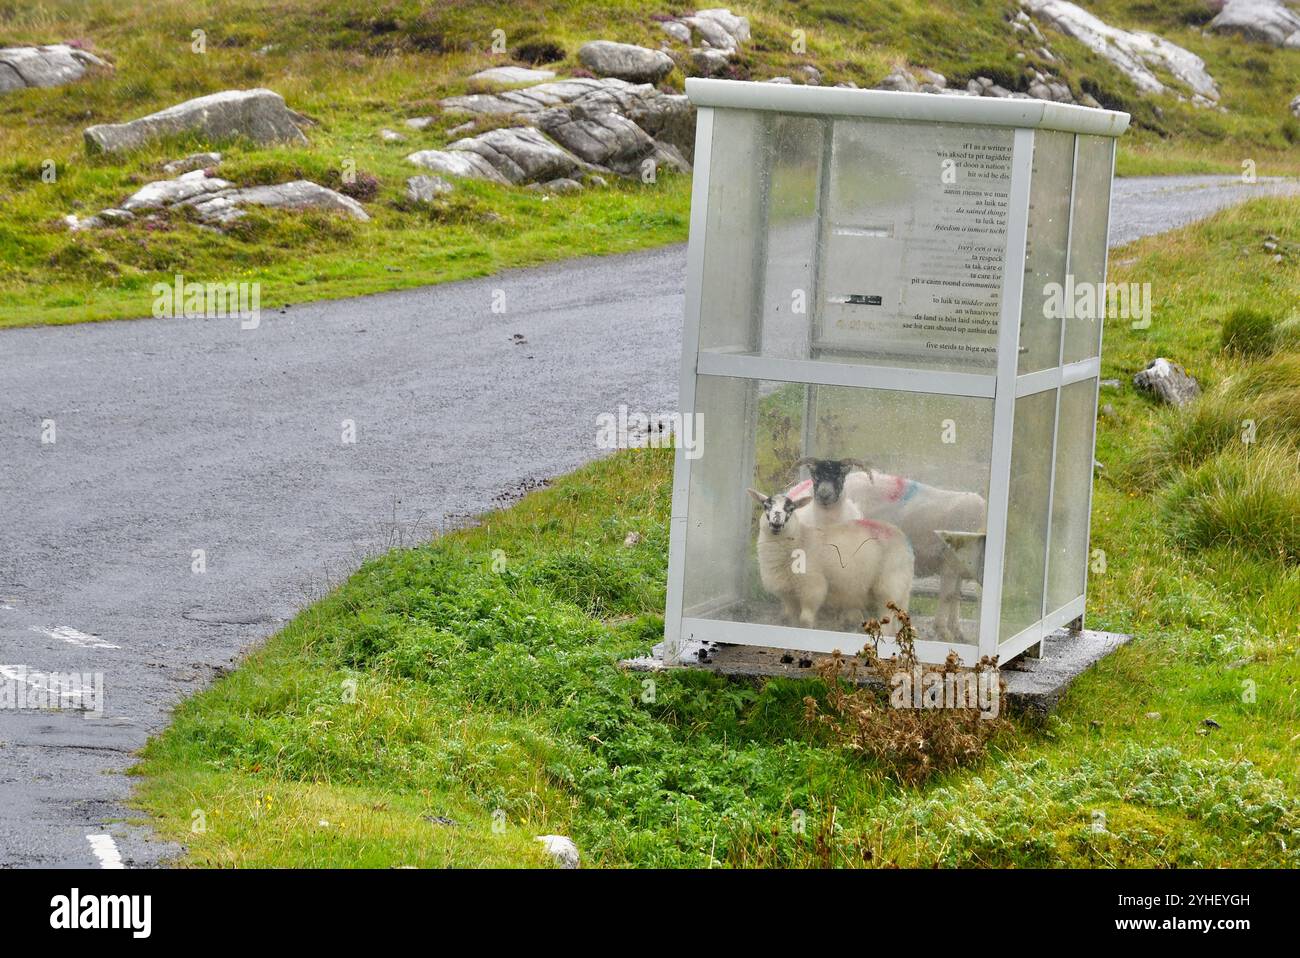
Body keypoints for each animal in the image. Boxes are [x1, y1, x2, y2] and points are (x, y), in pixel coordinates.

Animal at [747, 487, 914, 636]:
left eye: (791, 508)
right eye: (766, 506)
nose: (776, 524)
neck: (800, 539)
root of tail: (903, 539)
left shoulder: (812, 589)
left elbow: (805, 621)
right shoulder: (787, 595)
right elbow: (791, 620)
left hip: (890, 584)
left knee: (888, 622)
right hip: (899, 588)